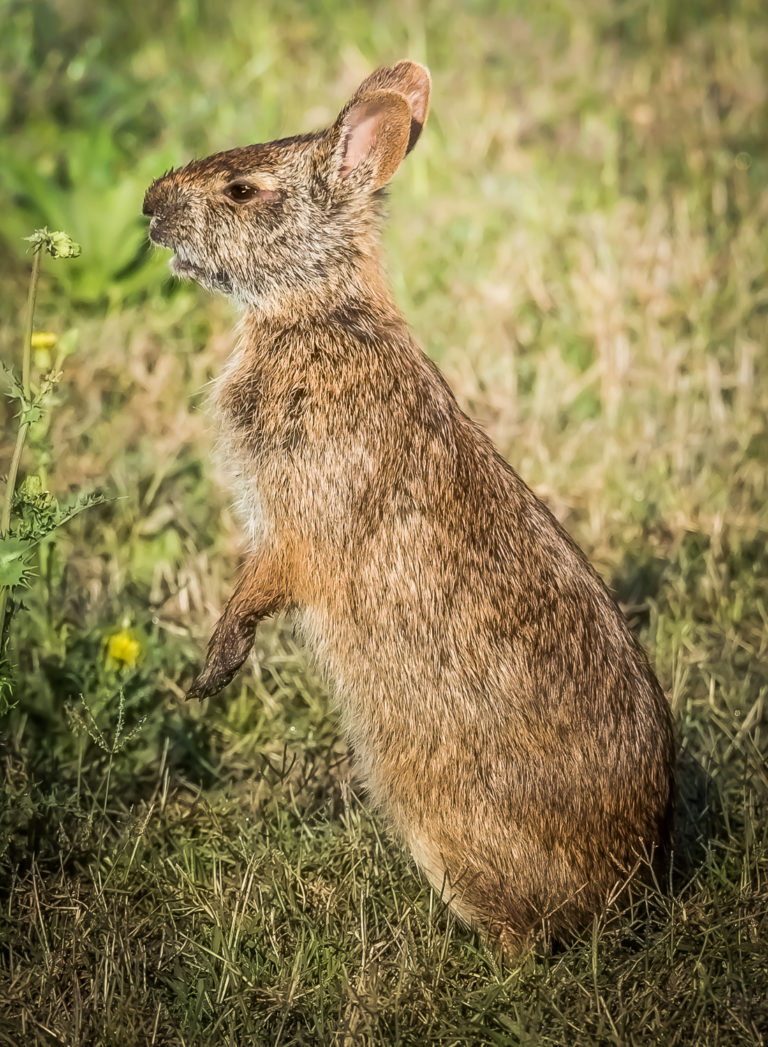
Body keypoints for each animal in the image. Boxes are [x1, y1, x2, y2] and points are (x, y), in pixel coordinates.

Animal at [143, 60, 675, 952]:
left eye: (243, 190)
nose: (150, 208)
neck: (318, 312)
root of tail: (630, 892)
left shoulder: (300, 519)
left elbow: (264, 582)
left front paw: (213, 669)